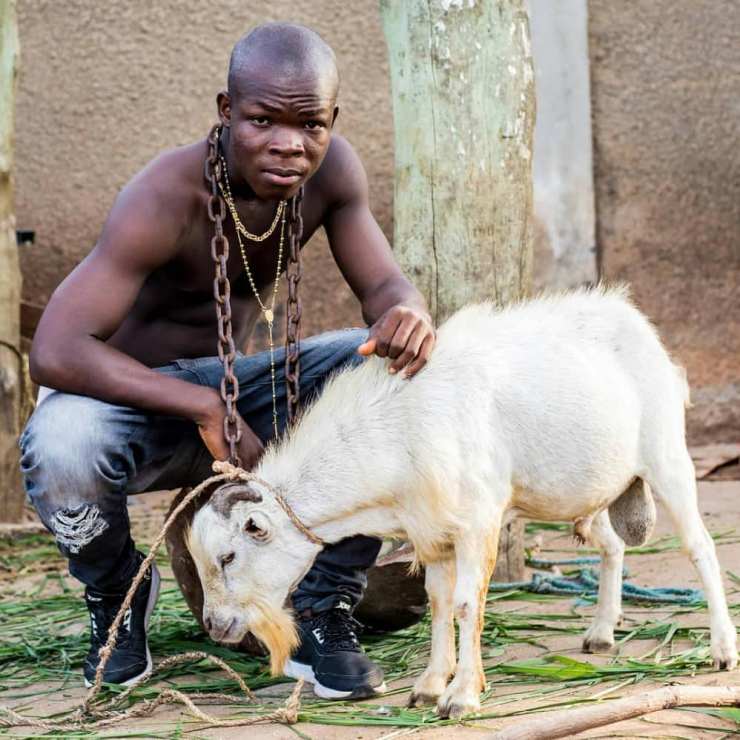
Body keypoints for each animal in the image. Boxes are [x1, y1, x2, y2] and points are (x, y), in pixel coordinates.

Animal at [187, 287, 738, 718]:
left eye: (229, 555)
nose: (214, 626)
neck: (399, 423)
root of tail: (634, 320)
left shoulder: (478, 520)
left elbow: (469, 603)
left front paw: (463, 696)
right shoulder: (433, 530)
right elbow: (438, 602)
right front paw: (430, 686)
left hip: (667, 456)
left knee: (700, 547)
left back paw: (722, 650)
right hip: (590, 490)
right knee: (612, 546)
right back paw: (601, 632)